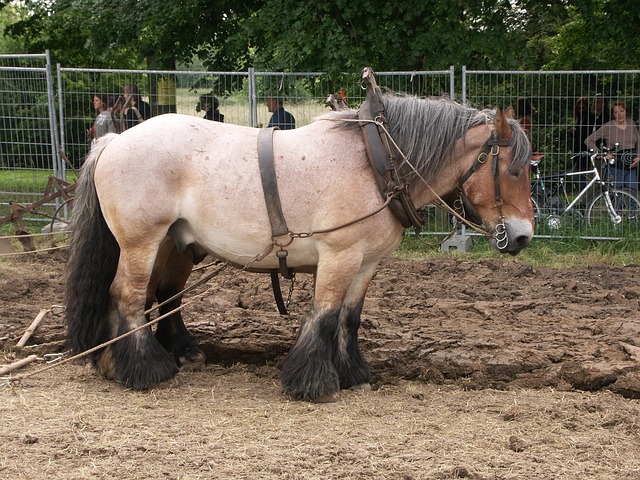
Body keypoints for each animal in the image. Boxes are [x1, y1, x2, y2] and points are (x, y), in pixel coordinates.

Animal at [65, 94, 534, 402]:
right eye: (513, 170)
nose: (524, 236)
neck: (375, 164)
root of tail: (112, 141)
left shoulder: (365, 263)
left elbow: (349, 319)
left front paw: (352, 372)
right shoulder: (340, 256)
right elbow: (324, 315)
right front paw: (313, 382)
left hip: (171, 244)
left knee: (159, 296)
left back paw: (128, 360)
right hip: (141, 241)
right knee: (127, 296)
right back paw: (145, 369)